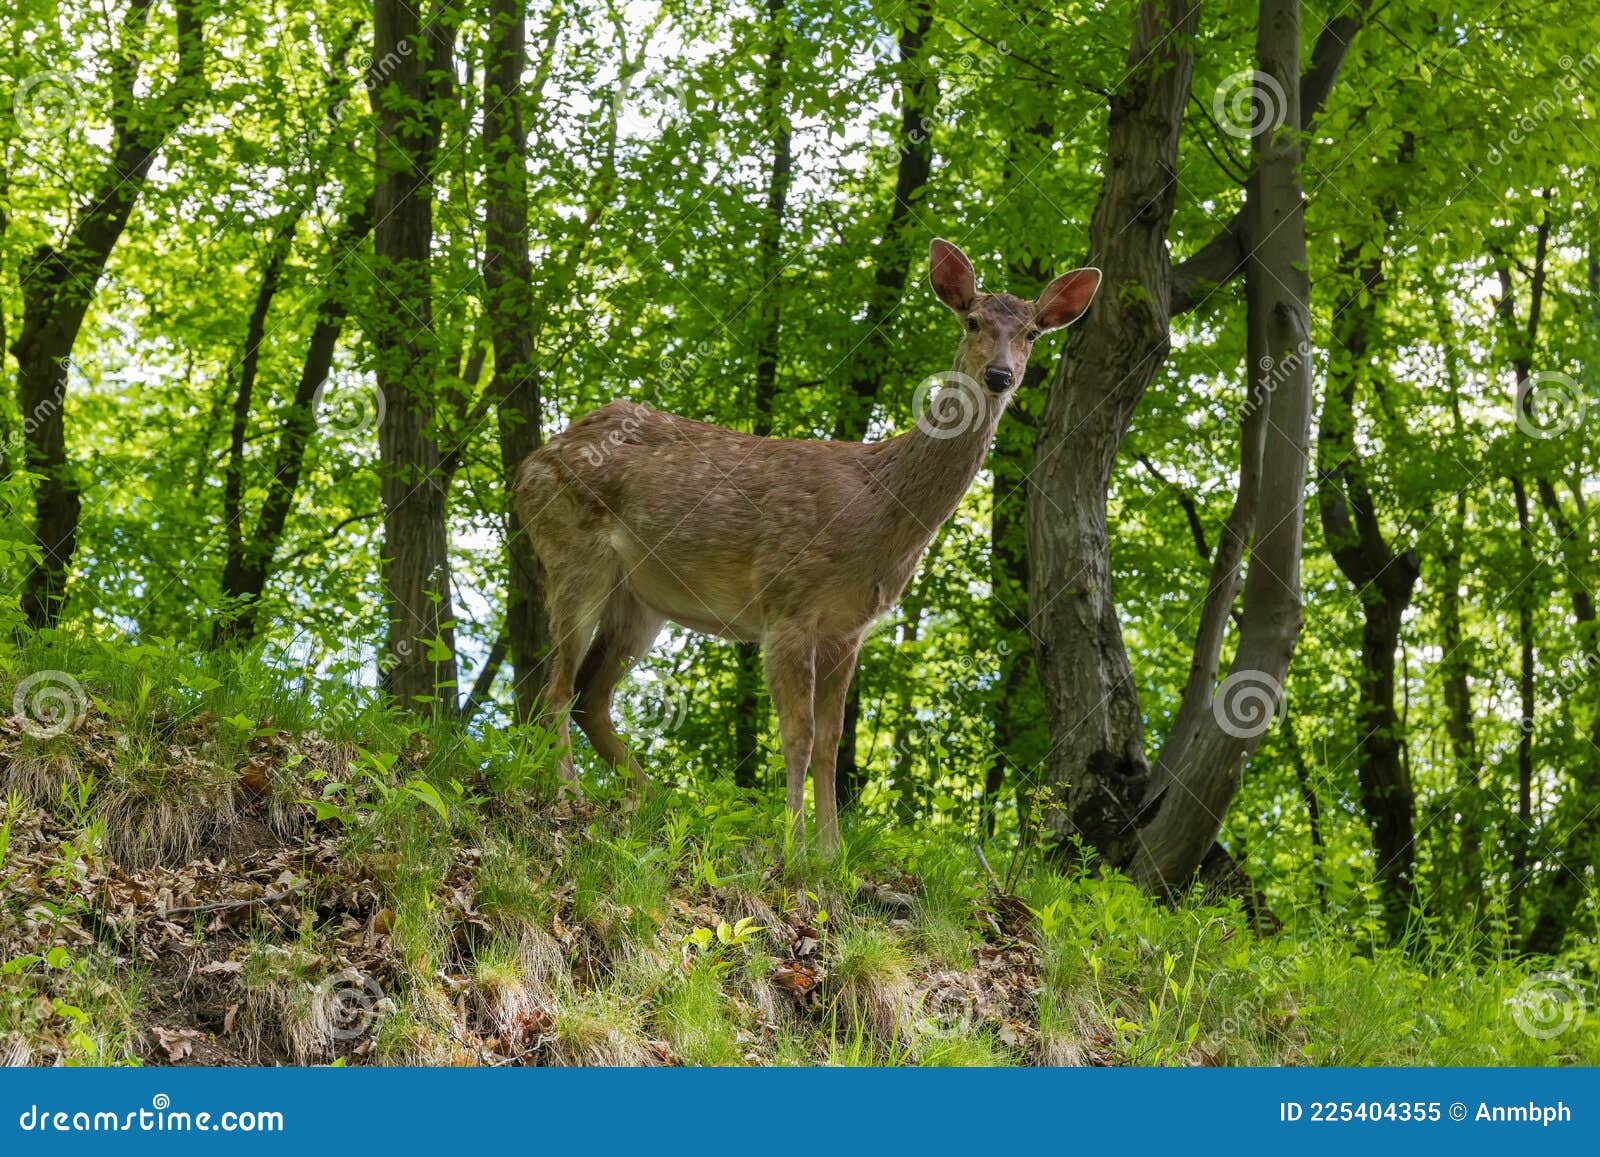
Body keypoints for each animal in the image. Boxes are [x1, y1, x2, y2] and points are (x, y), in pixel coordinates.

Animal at [511, 240, 1100, 852]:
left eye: (1032, 332)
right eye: (973, 321)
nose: (999, 374)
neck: (879, 512)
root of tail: (529, 465)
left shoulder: (847, 628)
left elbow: (831, 742)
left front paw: (830, 851)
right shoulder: (788, 602)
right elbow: (798, 734)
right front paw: (793, 845)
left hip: (641, 600)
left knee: (589, 694)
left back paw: (662, 802)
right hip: (571, 550)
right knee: (552, 687)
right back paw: (569, 793)